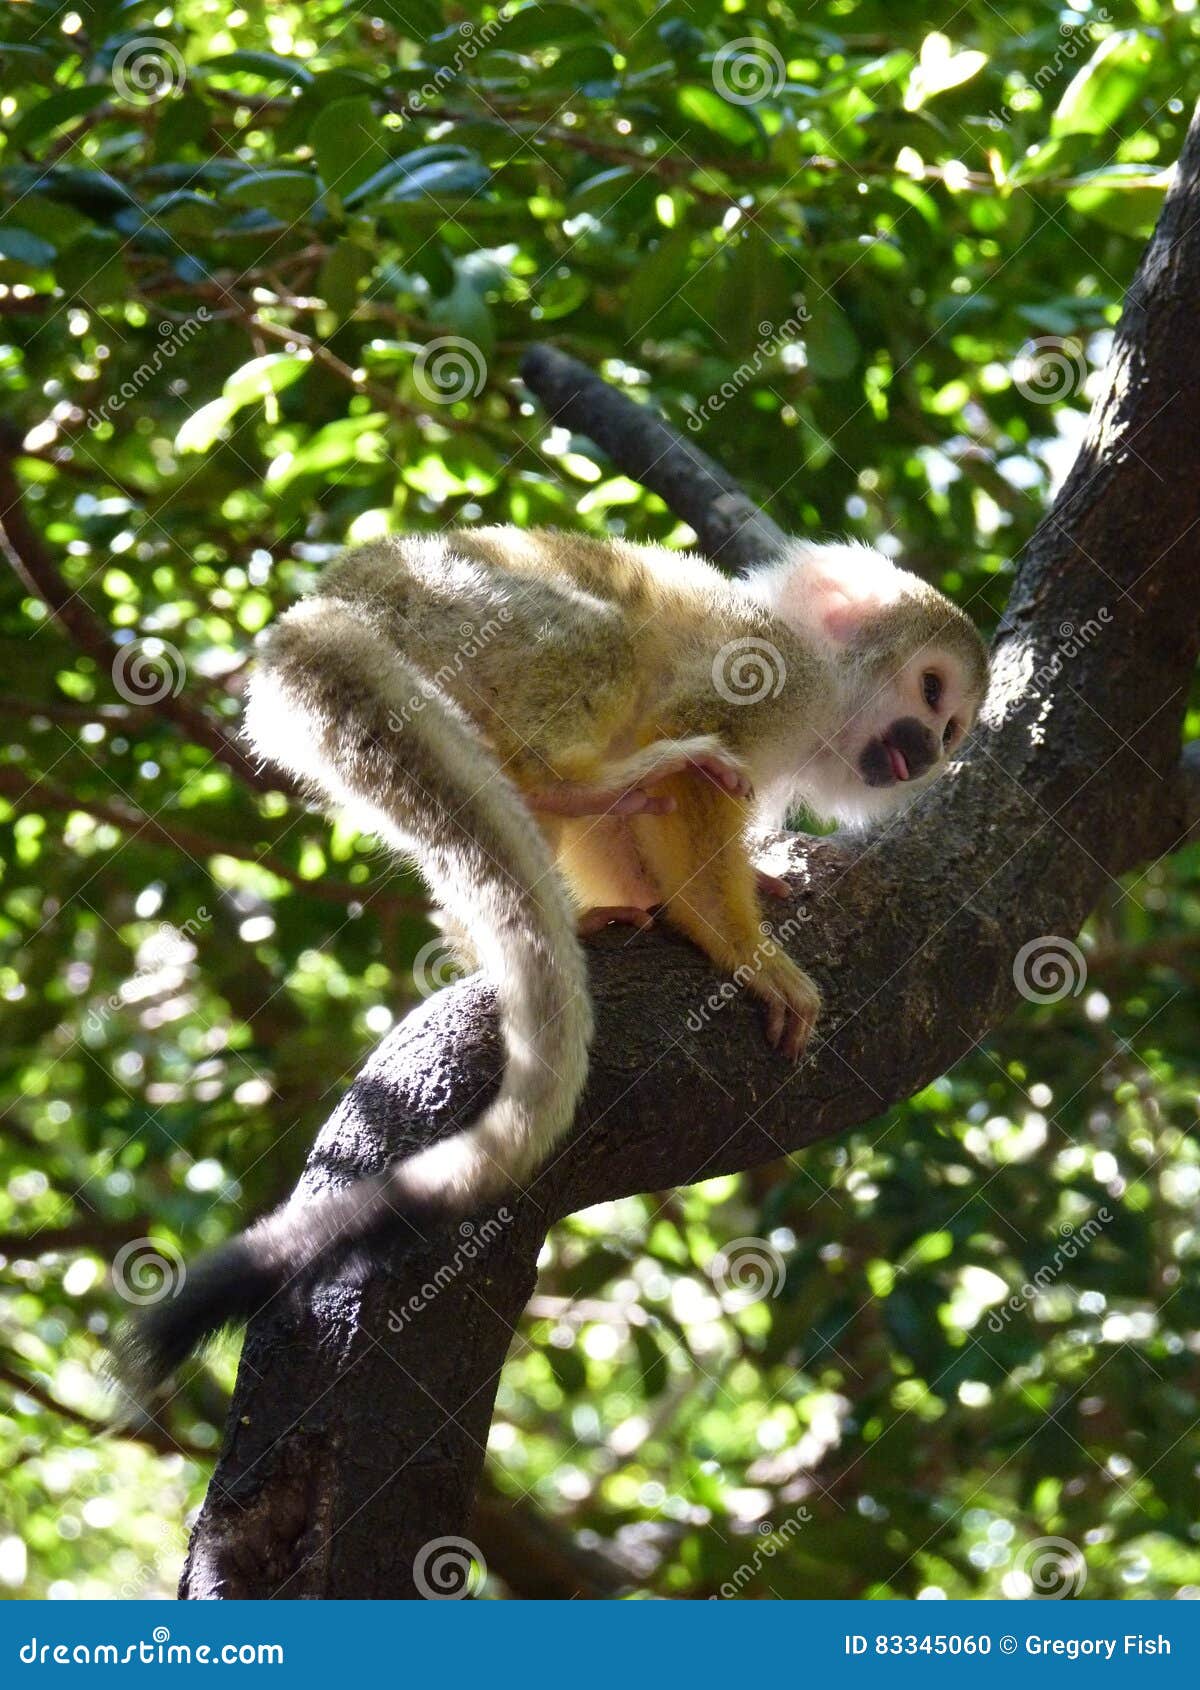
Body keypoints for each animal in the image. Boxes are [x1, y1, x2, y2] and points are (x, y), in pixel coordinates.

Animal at [115, 527, 988, 1393]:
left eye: (950, 729)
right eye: (931, 691)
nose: (925, 751)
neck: (825, 699)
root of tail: (321, 615)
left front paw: (723, 890)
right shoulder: (775, 671)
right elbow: (689, 763)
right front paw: (743, 949)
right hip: (449, 612)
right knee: (604, 642)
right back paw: (568, 782)